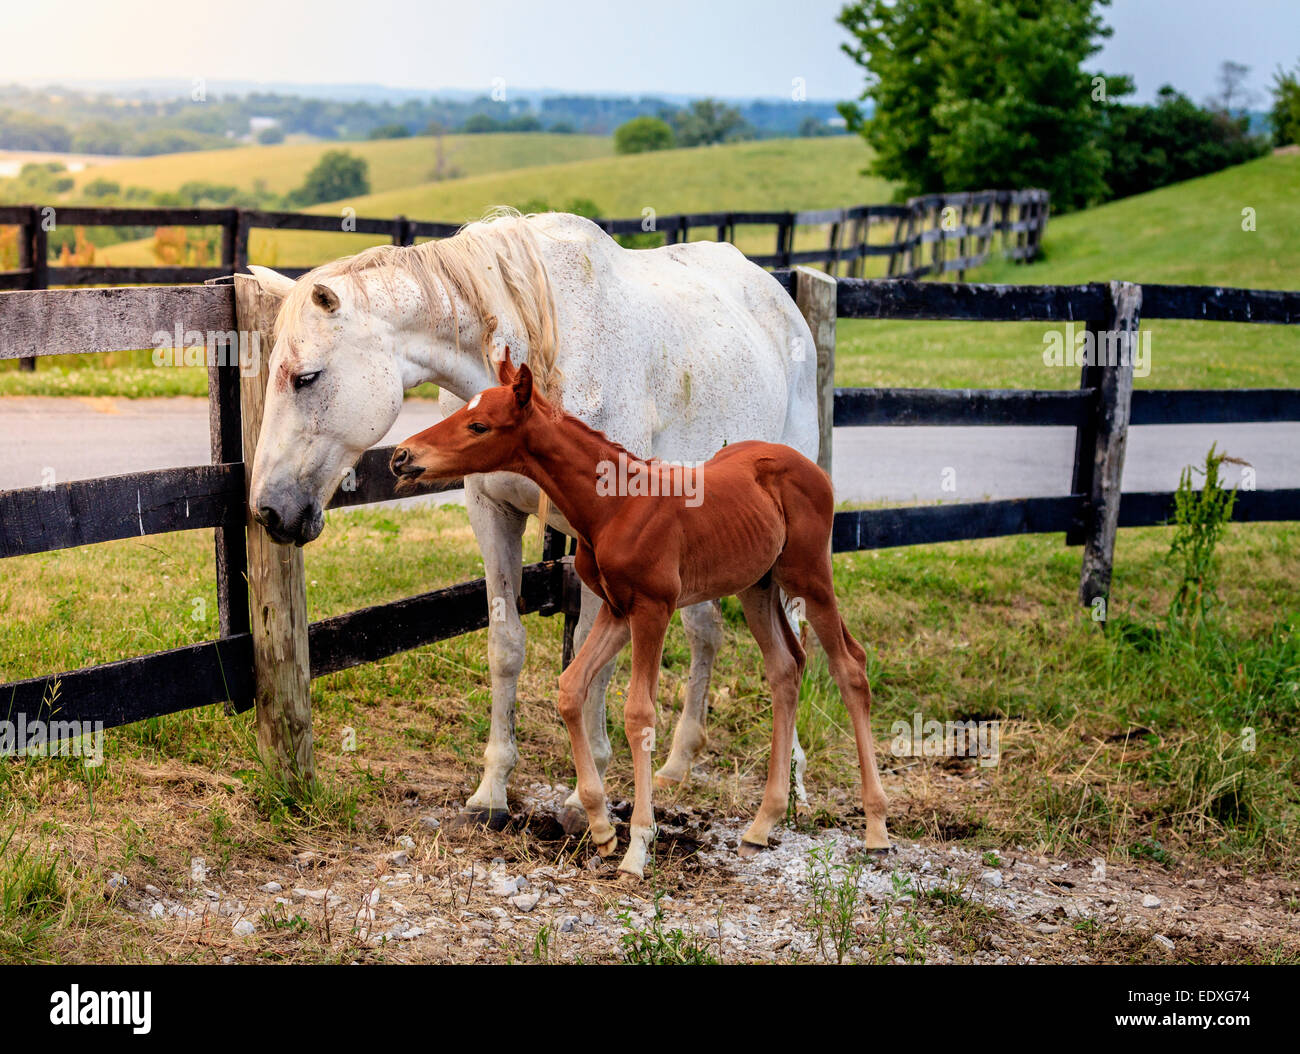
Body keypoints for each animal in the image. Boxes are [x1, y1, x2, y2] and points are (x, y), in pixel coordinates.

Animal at [245, 209, 818, 831]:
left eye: (306, 377)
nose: (269, 509)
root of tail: (778, 297)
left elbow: (595, 663)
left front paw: (583, 799)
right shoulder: (493, 514)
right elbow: (507, 647)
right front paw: (491, 792)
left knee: (793, 635)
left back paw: (793, 779)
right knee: (706, 630)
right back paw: (677, 764)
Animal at [389, 357, 890, 880]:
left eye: (479, 425)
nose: (401, 456)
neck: (616, 506)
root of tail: (808, 464)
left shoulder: (653, 609)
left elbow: (639, 713)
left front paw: (637, 847)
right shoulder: (615, 610)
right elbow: (571, 687)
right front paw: (601, 827)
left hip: (811, 577)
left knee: (850, 667)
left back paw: (876, 830)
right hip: (757, 585)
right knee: (785, 668)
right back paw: (760, 826)